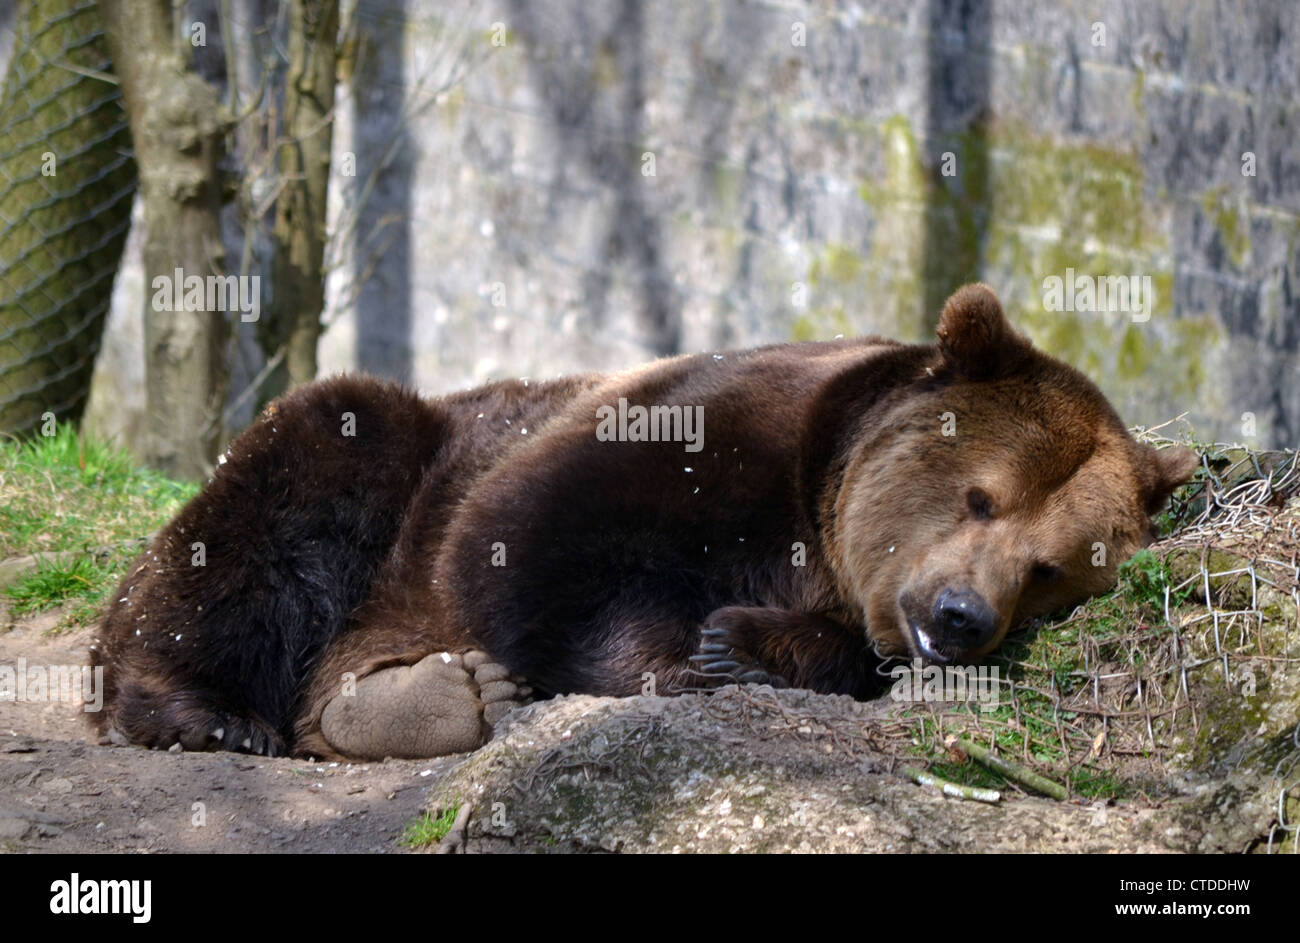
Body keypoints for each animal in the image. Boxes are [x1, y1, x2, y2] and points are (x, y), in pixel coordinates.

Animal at [88, 284, 1199, 760]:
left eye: (1052, 569)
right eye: (981, 495)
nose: (961, 616)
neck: (818, 500)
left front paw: (746, 641)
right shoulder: (711, 425)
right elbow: (532, 542)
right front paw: (680, 656)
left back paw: (425, 699)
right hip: (405, 462)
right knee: (303, 473)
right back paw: (205, 710)